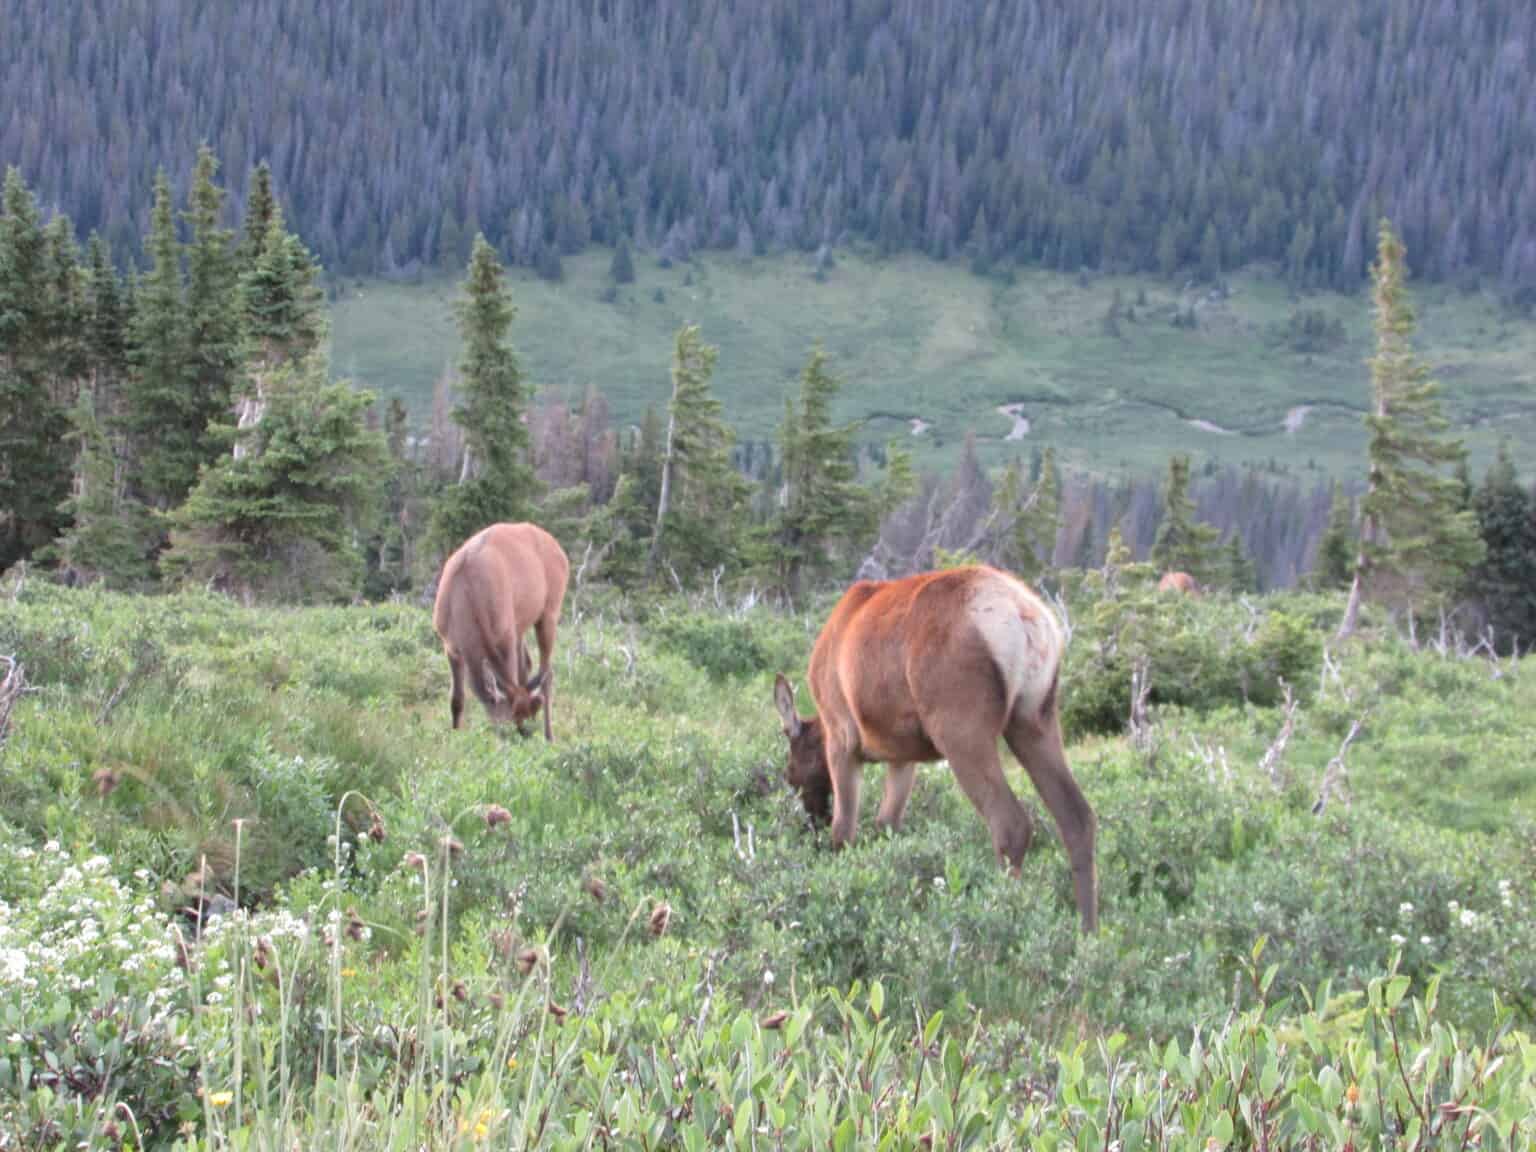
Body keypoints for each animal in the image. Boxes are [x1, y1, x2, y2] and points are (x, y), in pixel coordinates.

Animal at [433, 522, 569, 741]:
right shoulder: (450, 645)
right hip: (521, 623)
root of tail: (559, 549)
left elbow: (512, 677)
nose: (524, 736)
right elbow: (456, 699)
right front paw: (455, 735)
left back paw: (549, 736)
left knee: (547, 672)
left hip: (550, 610)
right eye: (507, 722)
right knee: (528, 665)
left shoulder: (506, 635)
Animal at [773, 565, 1099, 933]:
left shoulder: (842, 738)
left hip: (961, 728)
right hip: (1035, 717)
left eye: (790, 773)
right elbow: (886, 827)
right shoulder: (902, 756)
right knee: (1077, 816)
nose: (809, 825)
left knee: (1010, 823)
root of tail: (1026, 619)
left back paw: (1005, 918)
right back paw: (1087, 933)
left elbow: (844, 832)